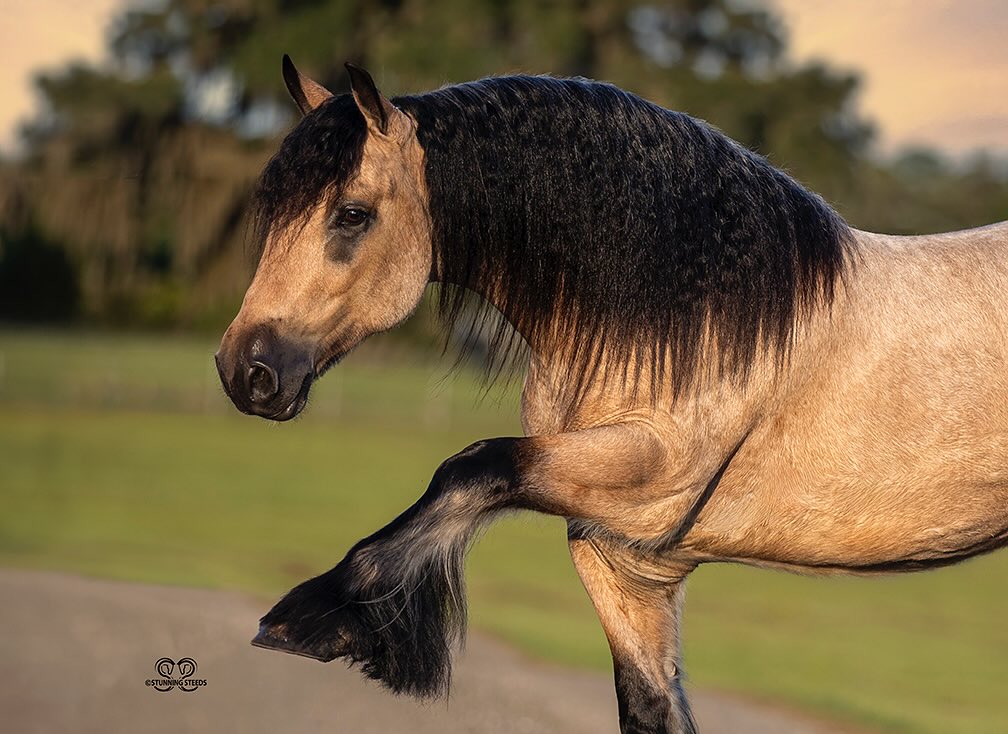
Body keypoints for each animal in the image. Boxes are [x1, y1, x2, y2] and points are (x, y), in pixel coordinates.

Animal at [215, 56, 1008, 734]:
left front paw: (320, 615)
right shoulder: (627, 564)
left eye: (351, 214)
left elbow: (470, 466)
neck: (694, 311)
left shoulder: (650, 483)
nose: (246, 369)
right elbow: (651, 708)